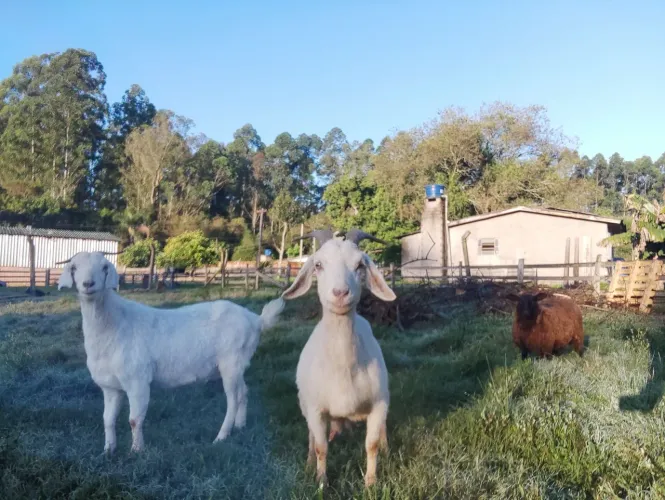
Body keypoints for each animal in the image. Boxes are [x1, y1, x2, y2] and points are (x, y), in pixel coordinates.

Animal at [57, 251, 284, 454]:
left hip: (231, 362)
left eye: (104, 267)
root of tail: (256, 319)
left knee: (233, 399)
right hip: (239, 365)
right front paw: (108, 450)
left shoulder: (137, 380)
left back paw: (221, 436)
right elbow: (107, 420)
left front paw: (137, 451)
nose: (88, 284)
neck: (114, 324)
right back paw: (240, 425)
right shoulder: (110, 387)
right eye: (74, 268)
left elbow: (134, 420)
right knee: (244, 392)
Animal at [281, 228, 396, 487]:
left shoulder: (379, 403)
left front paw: (371, 484)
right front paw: (321, 483)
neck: (344, 369)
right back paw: (309, 463)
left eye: (360, 265)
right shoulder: (315, 409)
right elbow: (321, 447)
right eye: (318, 265)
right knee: (312, 438)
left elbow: (372, 444)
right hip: (305, 404)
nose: (340, 293)